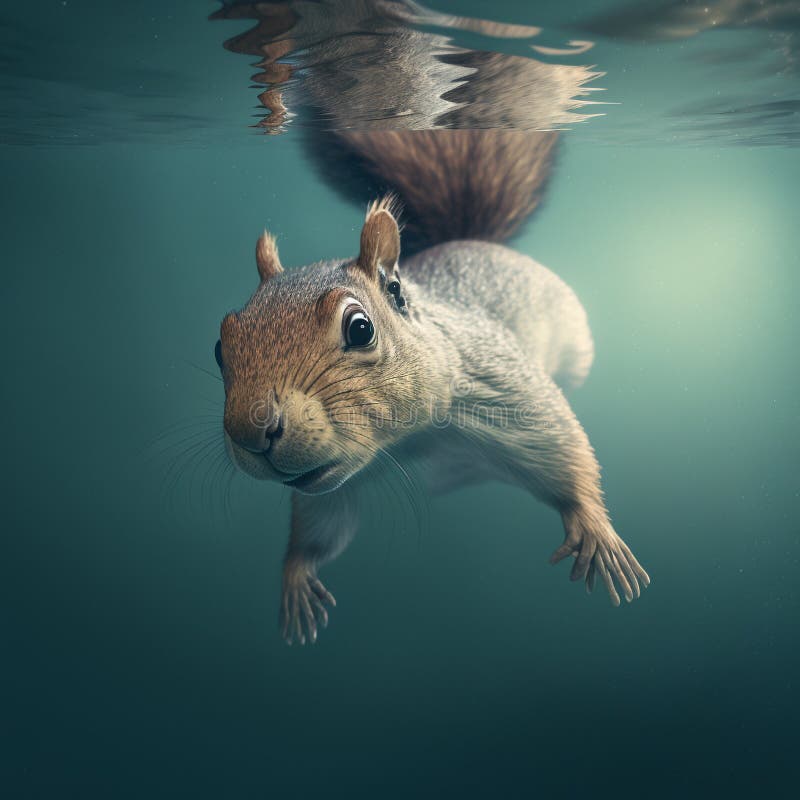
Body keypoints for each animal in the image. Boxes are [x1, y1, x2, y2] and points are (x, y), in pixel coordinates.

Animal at [216, 128, 650, 645]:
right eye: (219, 346)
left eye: (360, 329)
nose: (251, 431)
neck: (405, 443)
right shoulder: (335, 478)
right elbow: (325, 522)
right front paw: (297, 573)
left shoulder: (495, 383)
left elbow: (559, 443)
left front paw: (593, 527)